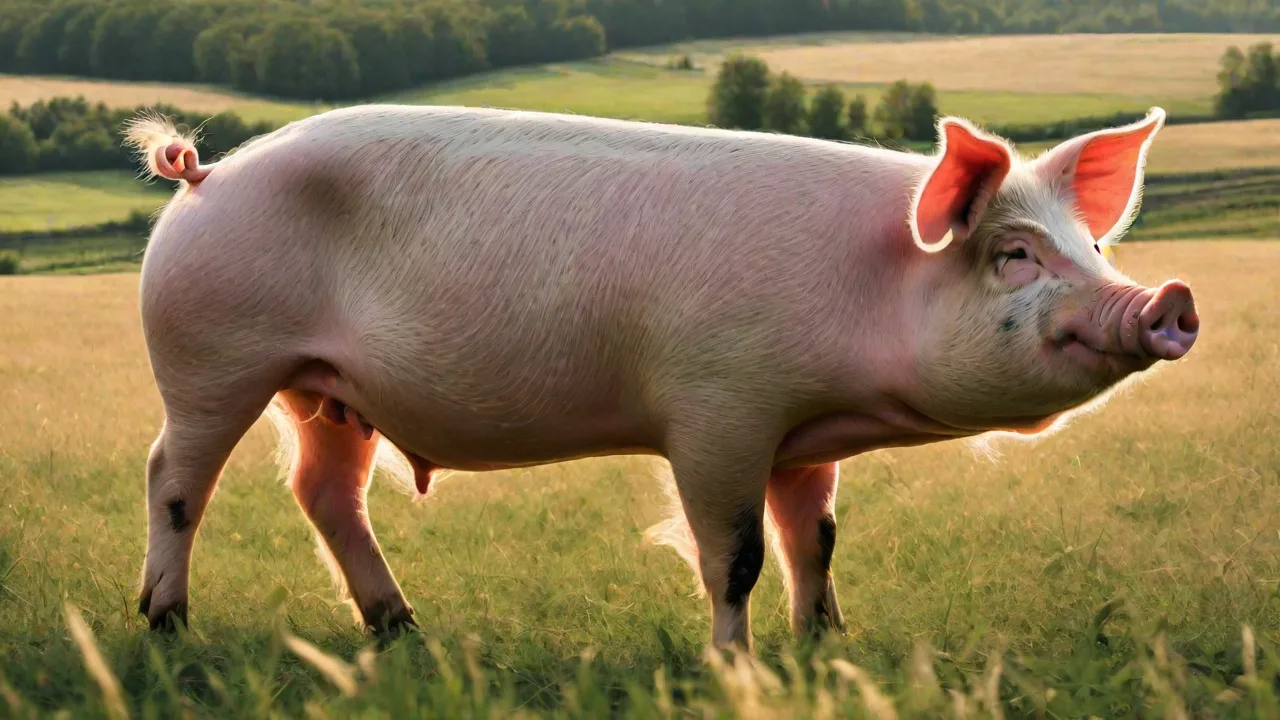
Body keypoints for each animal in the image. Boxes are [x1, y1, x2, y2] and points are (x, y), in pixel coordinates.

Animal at [122, 104, 1197, 651]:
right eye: (1013, 255)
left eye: (1092, 244)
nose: (1168, 297)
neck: (872, 288)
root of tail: (205, 175)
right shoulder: (719, 409)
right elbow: (735, 554)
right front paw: (738, 667)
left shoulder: (800, 437)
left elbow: (815, 540)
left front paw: (827, 650)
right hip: (213, 354)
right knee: (174, 479)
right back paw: (169, 629)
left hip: (329, 389)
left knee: (322, 492)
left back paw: (402, 628)